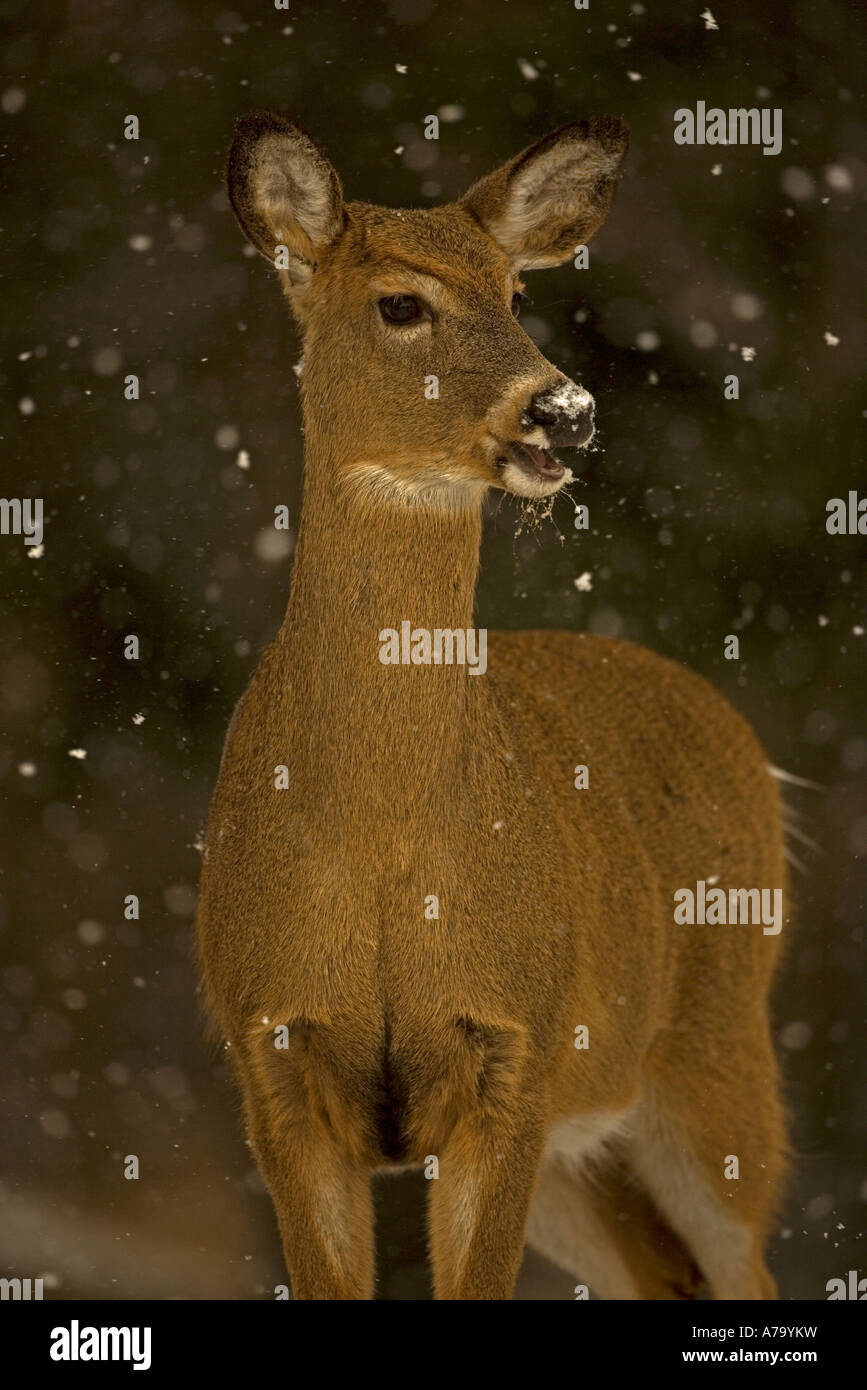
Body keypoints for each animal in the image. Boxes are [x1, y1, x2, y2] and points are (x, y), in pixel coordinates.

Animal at [195, 109, 788, 1301]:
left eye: (517, 291)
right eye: (400, 303)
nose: (564, 410)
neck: (381, 845)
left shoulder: (516, 1045)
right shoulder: (270, 1055)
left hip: (715, 1061)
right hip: (591, 1156)